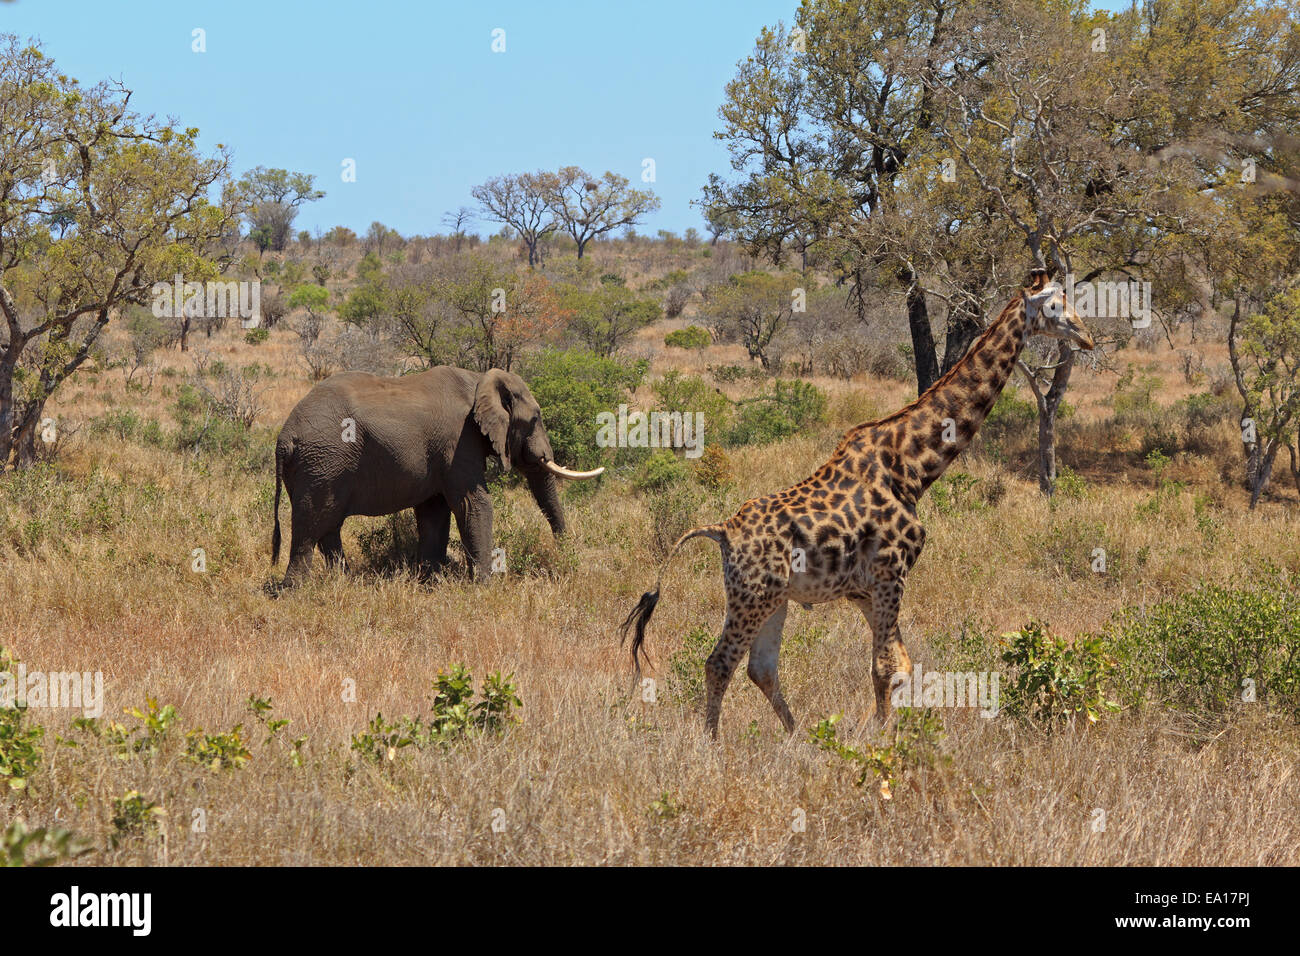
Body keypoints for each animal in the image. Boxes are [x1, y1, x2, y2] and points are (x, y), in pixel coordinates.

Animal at [270, 366, 602, 589]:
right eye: (535, 419)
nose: (566, 561)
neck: (479, 381)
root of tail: (284, 438)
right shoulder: (459, 441)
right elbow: (473, 504)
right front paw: (484, 586)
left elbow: (434, 513)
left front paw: (430, 582)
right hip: (322, 462)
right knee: (312, 524)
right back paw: (295, 590)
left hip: (320, 466)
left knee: (328, 527)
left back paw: (344, 581)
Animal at [619, 269, 1095, 738]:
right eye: (1056, 304)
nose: (1087, 336)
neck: (914, 468)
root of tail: (721, 532)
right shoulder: (889, 573)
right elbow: (884, 668)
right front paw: (880, 737)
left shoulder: (865, 589)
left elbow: (900, 663)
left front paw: (873, 728)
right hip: (751, 596)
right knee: (720, 663)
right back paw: (713, 744)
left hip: (774, 598)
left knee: (761, 668)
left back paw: (798, 738)